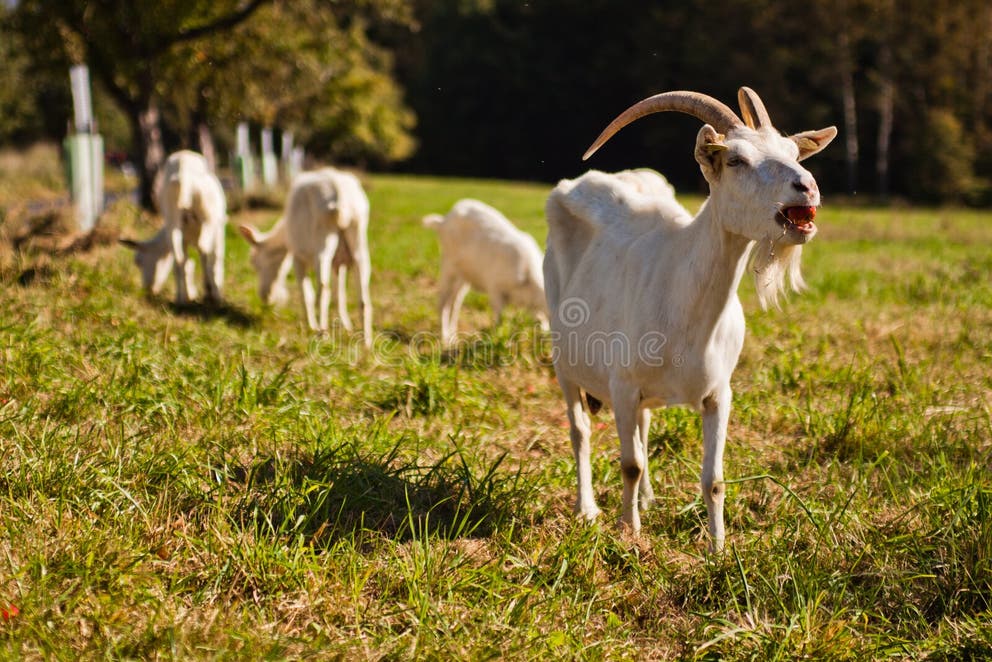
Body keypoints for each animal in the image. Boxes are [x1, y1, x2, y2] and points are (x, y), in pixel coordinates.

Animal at [119, 150, 227, 304]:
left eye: (139, 262)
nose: (147, 289)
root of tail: (183, 174)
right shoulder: (218, 229)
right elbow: (214, 259)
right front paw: (213, 292)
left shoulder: (187, 237)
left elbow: (189, 263)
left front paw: (190, 293)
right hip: (208, 217)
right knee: (203, 248)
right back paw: (209, 292)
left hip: (173, 219)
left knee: (179, 259)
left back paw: (181, 298)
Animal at [238, 167, 373, 347]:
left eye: (255, 263)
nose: (265, 297)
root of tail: (341, 197)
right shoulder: (338, 263)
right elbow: (340, 293)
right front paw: (346, 326)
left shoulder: (297, 256)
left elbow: (306, 293)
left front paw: (311, 326)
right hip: (358, 240)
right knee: (363, 296)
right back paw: (367, 341)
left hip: (322, 243)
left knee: (323, 289)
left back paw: (323, 334)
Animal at [422, 198, 548, 345]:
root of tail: (442, 221)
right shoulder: (495, 287)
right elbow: (499, 316)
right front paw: (500, 338)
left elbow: (539, 317)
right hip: (448, 264)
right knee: (442, 301)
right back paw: (445, 340)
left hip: (463, 276)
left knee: (454, 302)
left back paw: (454, 338)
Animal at [544, 87, 836, 551]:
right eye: (736, 160)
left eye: (794, 153)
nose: (806, 187)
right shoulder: (622, 386)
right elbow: (629, 463)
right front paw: (630, 535)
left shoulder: (719, 393)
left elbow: (713, 479)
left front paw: (717, 549)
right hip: (564, 362)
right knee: (581, 431)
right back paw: (586, 509)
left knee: (643, 427)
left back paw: (647, 500)